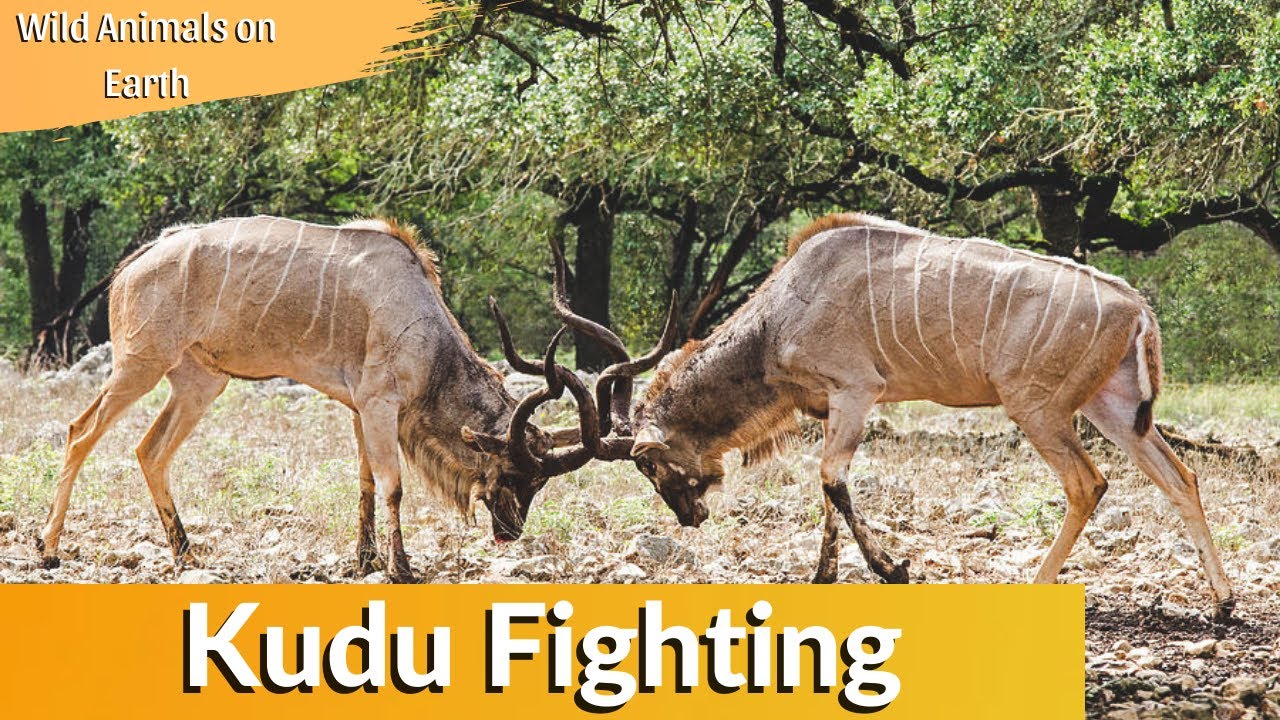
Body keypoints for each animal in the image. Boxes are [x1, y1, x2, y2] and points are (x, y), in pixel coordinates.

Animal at [37, 215, 605, 582]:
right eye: (513, 473)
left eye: (537, 483)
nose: (509, 531)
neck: (421, 323)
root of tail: (132, 267)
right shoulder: (378, 405)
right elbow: (393, 484)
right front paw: (401, 569)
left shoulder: (359, 409)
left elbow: (366, 481)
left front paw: (364, 562)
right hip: (140, 366)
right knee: (80, 432)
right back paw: (48, 550)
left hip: (200, 383)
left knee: (150, 451)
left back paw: (187, 557)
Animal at [567, 213, 1232, 620]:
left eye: (648, 467)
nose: (690, 515)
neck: (776, 317)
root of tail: (1136, 306)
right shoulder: (833, 406)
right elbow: (826, 490)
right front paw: (823, 577)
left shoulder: (856, 393)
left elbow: (832, 479)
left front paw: (894, 569)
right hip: (1112, 411)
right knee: (1182, 478)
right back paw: (1223, 601)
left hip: (1037, 409)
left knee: (1087, 484)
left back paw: (1037, 586)